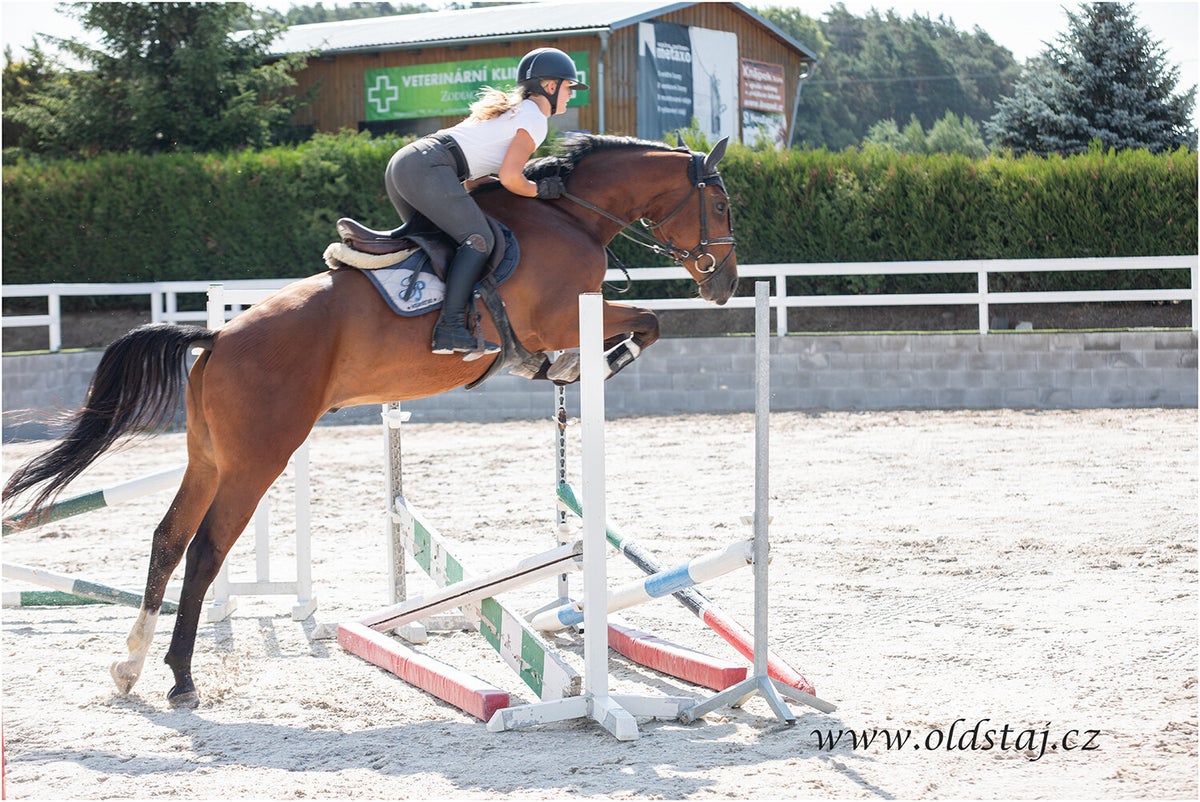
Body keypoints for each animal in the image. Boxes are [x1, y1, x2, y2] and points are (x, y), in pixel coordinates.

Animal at [2, 133, 738, 707]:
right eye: (724, 203)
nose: (725, 283)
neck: (570, 216)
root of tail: (219, 336)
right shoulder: (562, 316)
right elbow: (648, 321)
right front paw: (588, 366)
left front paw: (567, 370)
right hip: (257, 460)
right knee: (207, 549)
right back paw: (181, 677)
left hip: (207, 457)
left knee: (167, 539)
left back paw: (131, 665)